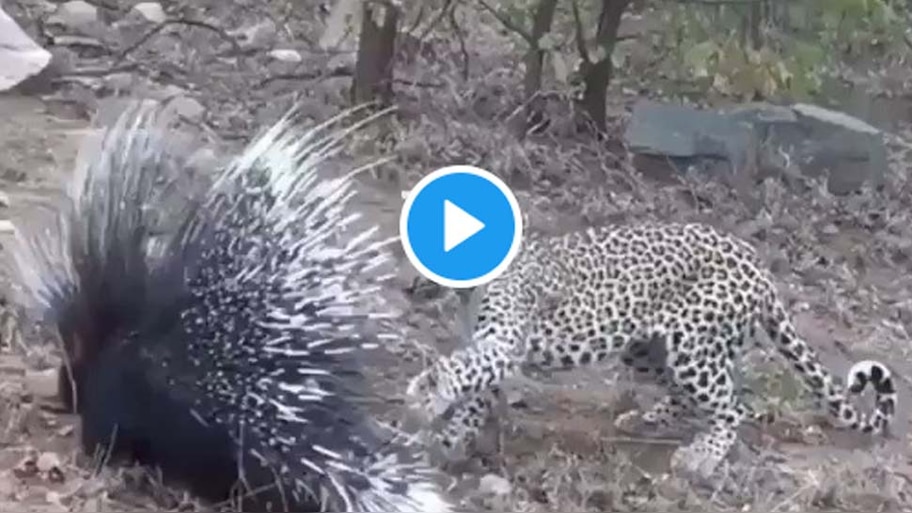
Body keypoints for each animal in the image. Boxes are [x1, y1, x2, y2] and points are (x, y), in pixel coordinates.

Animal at [405, 221, 897, 479]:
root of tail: (757, 263)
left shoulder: (503, 340)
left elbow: (462, 372)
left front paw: (427, 396)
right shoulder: (487, 346)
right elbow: (473, 393)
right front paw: (448, 442)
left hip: (694, 347)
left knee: (732, 406)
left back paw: (700, 457)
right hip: (647, 349)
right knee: (687, 395)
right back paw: (646, 417)